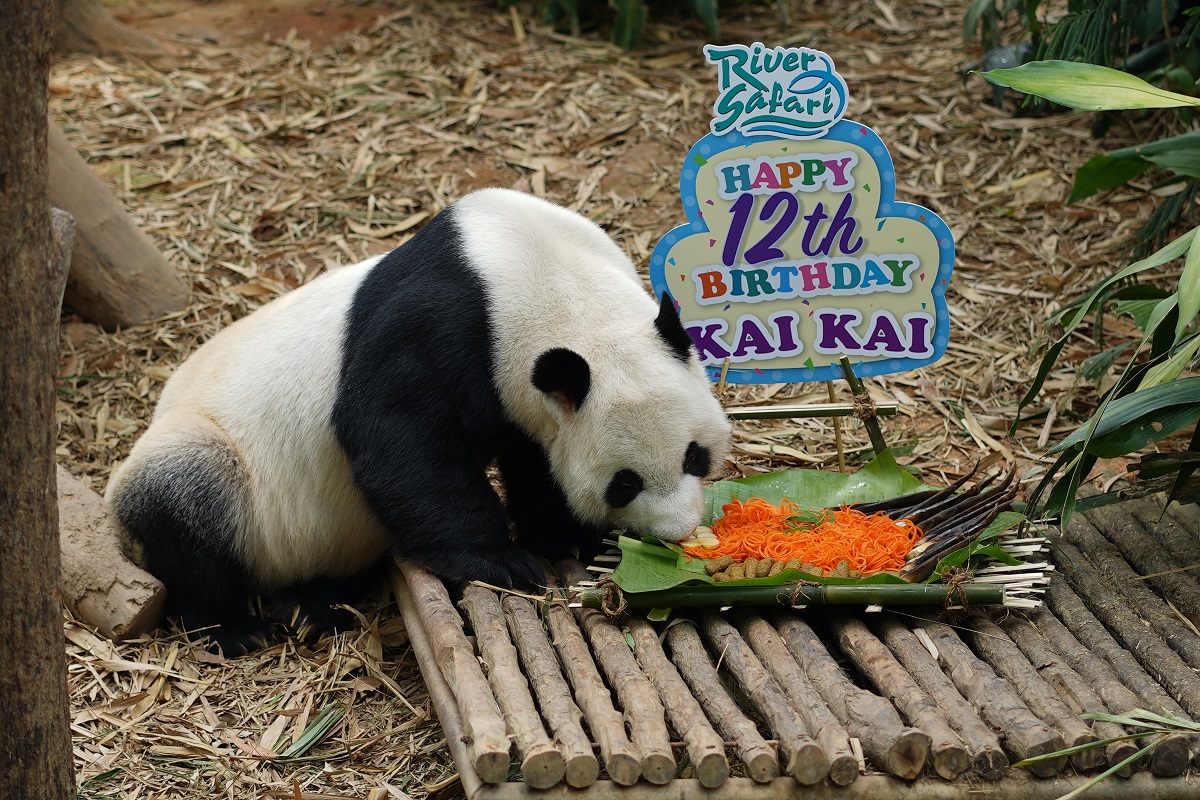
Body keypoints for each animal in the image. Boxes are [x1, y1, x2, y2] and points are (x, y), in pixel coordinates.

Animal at [105, 188, 732, 654]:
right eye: (625, 482)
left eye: (694, 455)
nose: (678, 531)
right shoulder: (444, 325)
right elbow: (400, 441)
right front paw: (506, 561)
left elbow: (536, 461)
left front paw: (569, 536)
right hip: (212, 462)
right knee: (187, 499)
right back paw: (236, 625)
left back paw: (308, 606)